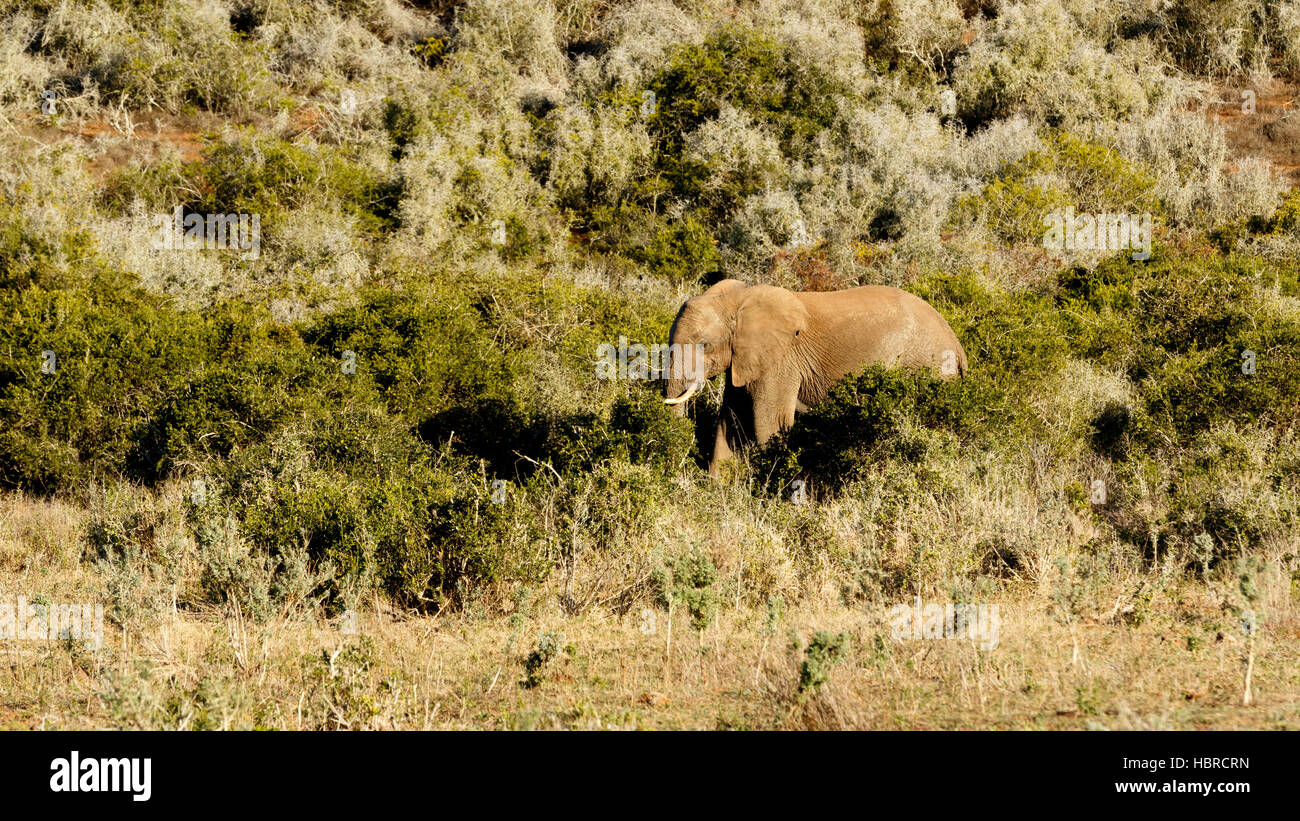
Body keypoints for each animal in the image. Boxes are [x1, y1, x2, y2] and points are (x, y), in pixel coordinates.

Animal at [662, 279, 967, 475]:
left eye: (705, 345)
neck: (737, 301)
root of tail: (957, 343)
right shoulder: (744, 361)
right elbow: (731, 421)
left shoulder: (781, 361)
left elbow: (768, 425)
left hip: (927, 364)